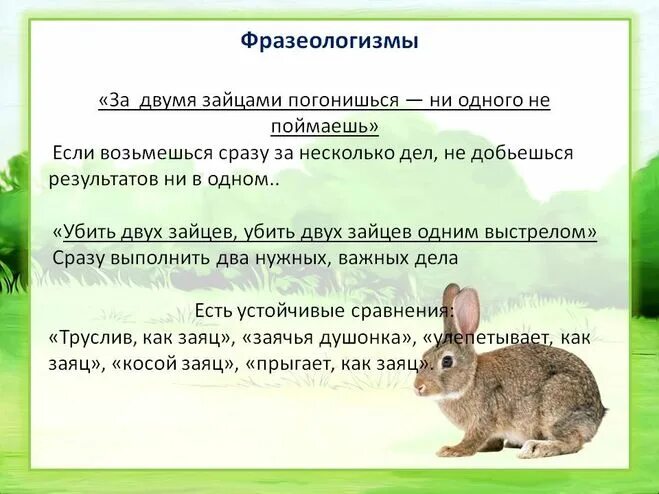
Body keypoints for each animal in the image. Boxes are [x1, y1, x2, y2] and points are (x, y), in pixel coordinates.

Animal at [413, 283, 607, 459]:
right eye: (424, 357)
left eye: (447, 361)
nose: (418, 387)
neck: (470, 380)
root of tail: (598, 413)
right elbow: (492, 442)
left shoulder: (484, 417)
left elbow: (473, 439)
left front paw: (452, 450)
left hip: (555, 407)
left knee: (573, 442)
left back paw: (535, 448)